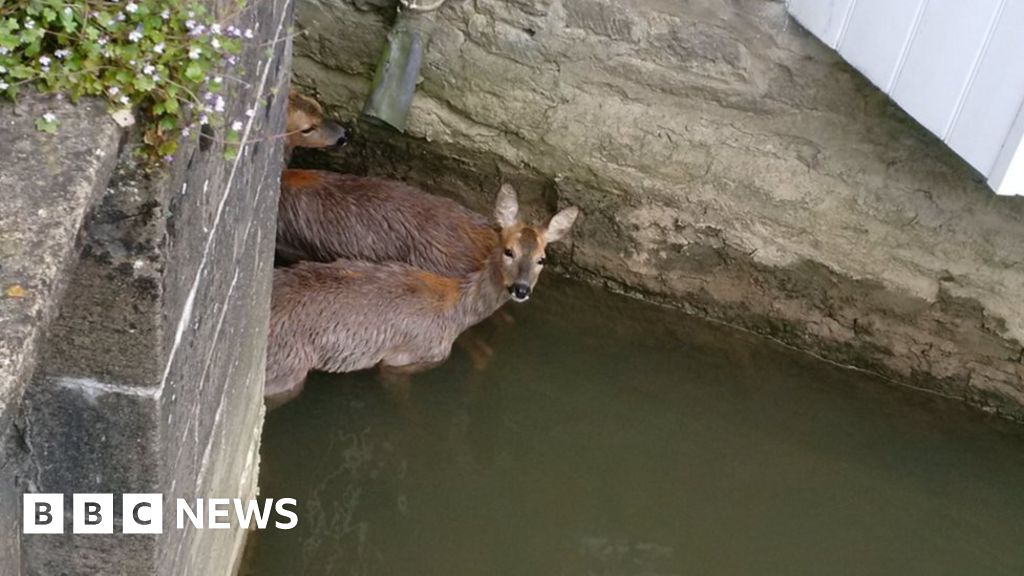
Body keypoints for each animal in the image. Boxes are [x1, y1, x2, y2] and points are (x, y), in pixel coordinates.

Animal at [265, 184, 579, 404]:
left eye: (541, 259)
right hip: (286, 369)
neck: (455, 308)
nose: (521, 289)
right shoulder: (404, 359)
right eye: (508, 250)